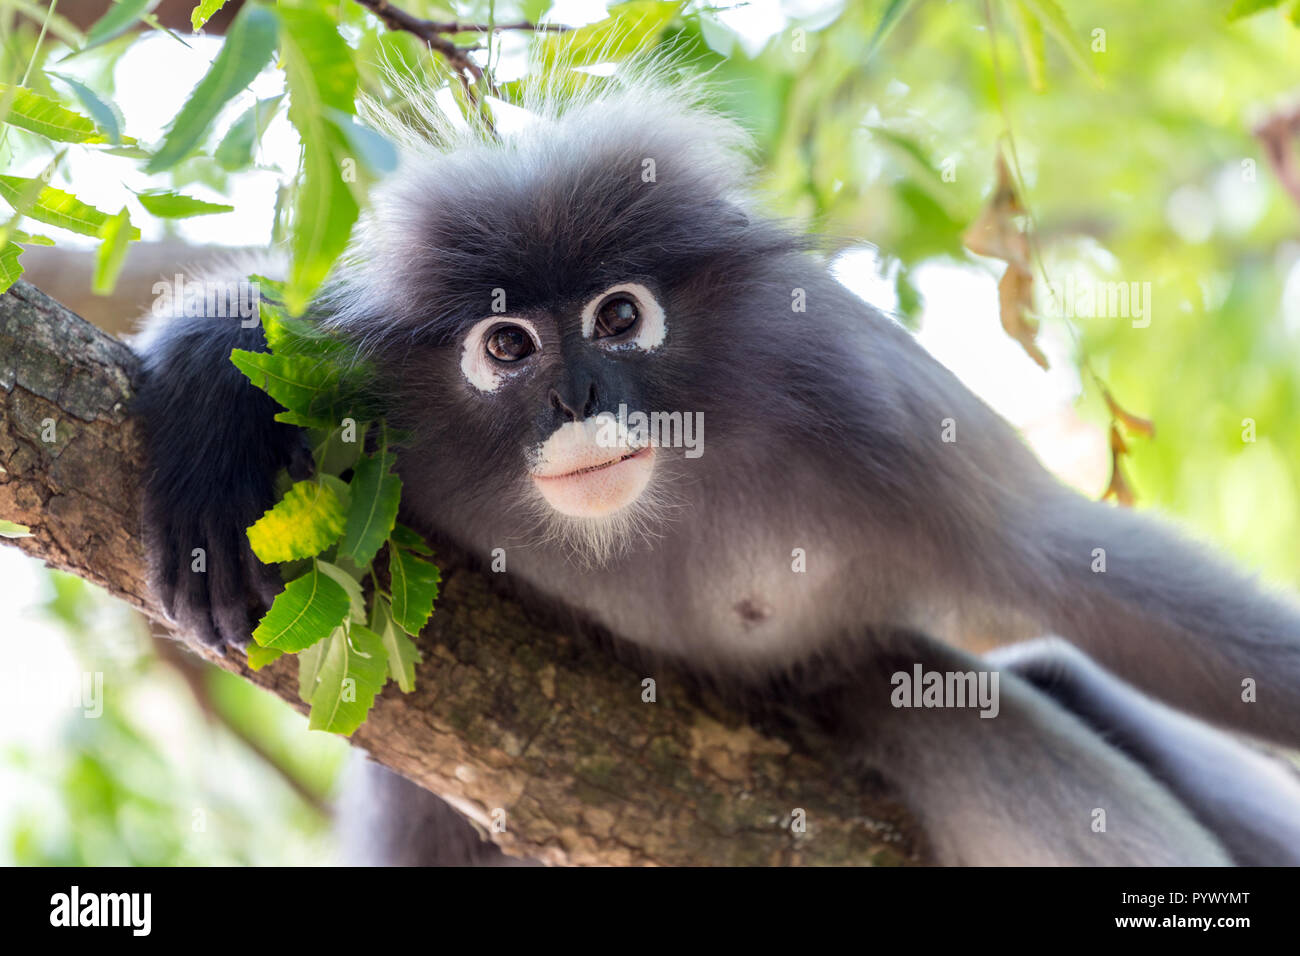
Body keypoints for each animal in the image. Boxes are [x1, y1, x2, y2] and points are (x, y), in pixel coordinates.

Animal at [131, 71, 1300, 866]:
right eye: (506, 344)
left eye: (619, 317)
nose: (577, 400)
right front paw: (206, 416)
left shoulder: (872, 401)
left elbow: (1078, 571)